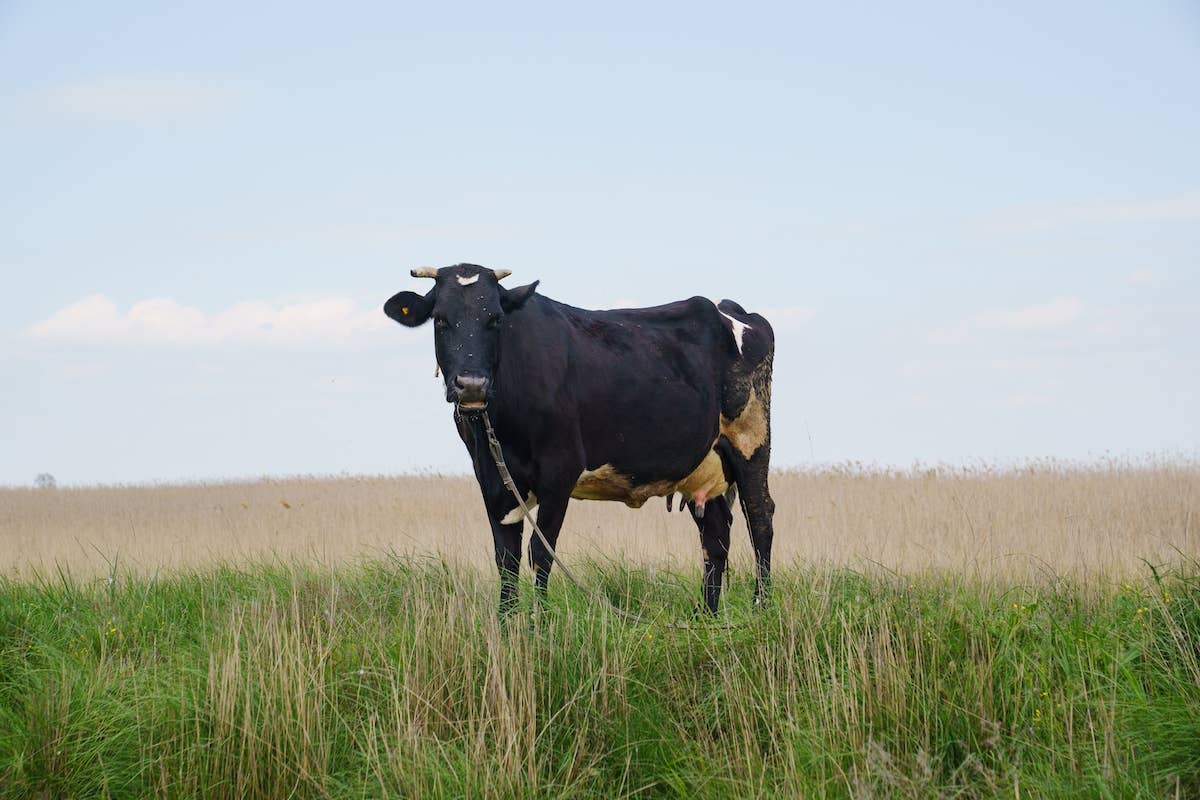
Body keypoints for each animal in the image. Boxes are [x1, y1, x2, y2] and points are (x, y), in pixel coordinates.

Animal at [384, 264, 776, 615]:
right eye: (440, 319)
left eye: (495, 319)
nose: (471, 385)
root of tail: (730, 308)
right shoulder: (491, 477)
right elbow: (506, 557)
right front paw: (507, 625)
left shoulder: (560, 471)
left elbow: (541, 553)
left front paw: (538, 625)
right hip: (704, 464)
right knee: (716, 533)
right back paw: (705, 616)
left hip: (751, 440)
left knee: (760, 517)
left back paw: (761, 608)